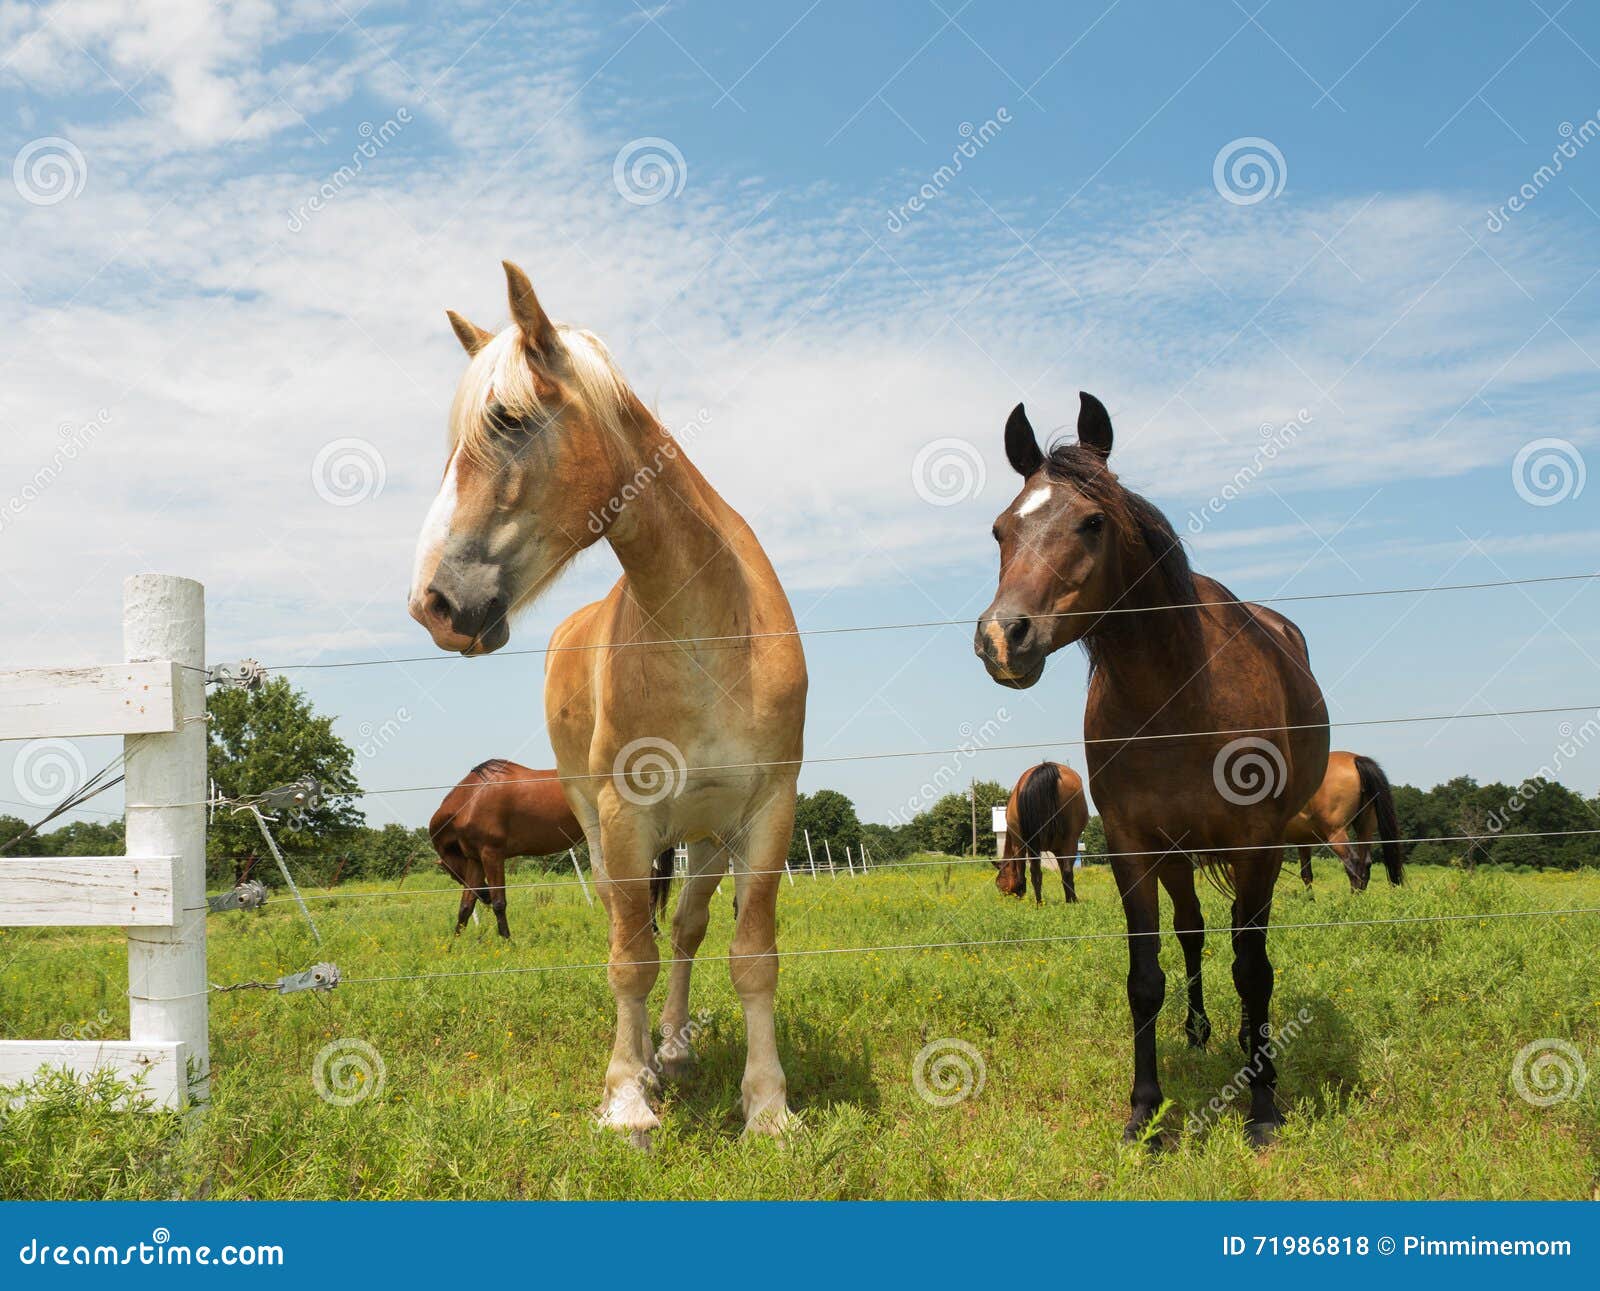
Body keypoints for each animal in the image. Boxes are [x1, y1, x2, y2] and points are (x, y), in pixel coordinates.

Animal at [429, 759, 674, 939]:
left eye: (451, 874)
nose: (485, 896)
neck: (473, 798)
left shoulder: (492, 855)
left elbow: (500, 902)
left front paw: (508, 941)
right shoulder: (475, 860)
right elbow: (465, 906)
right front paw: (454, 945)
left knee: (649, 883)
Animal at [996, 761, 1088, 903]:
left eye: (999, 884)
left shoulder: (1019, 846)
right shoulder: (1058, 850)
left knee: (1036, 872)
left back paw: (1040, 902)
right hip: (1069, 841)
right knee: (1064, 872)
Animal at [1286, 750, 1403, 893]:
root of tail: (1355, 759)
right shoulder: (1303, 841)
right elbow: (1306, 874)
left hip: (1336, 833)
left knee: (1353, 864)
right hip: (1365, 829)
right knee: (1365, 864)